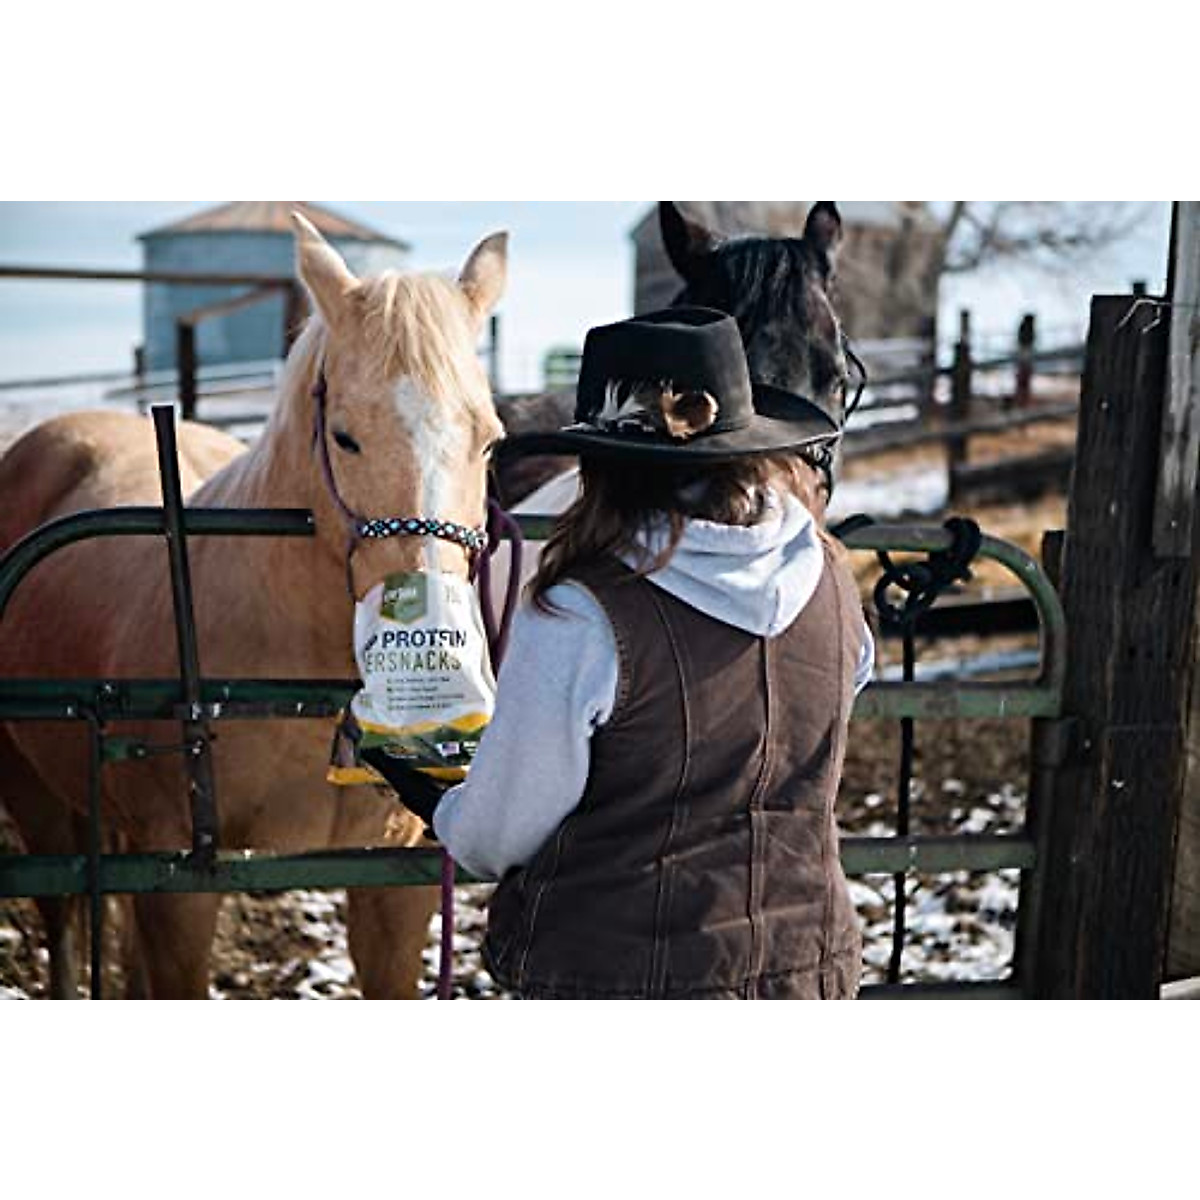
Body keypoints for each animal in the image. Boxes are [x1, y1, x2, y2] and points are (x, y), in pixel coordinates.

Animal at [0, 214, 507, 998]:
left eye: (489, 441)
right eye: (346, 437)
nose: (436, 671)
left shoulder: (400, 890)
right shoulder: (177, 889)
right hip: (38, 802)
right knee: (63, 929)